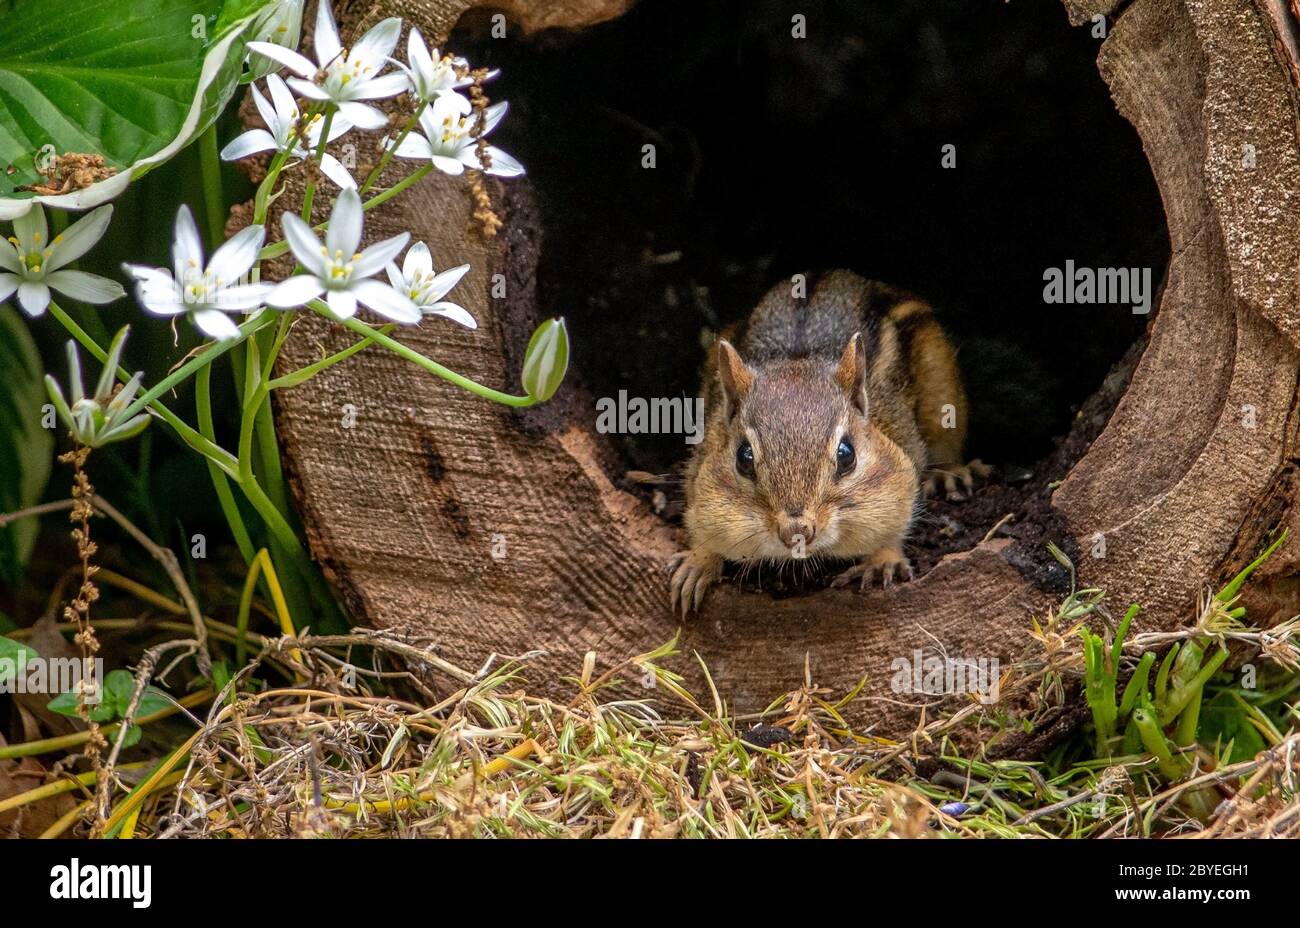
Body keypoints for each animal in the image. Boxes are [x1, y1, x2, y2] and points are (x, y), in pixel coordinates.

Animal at [669, 269, 987, 615]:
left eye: (847, 454)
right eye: (743, 457)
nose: (796, 531)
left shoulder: (900, 471)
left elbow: (896, 520)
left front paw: (882, 560)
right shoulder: (702, 480)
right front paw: (698, 562)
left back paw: (949, 473)